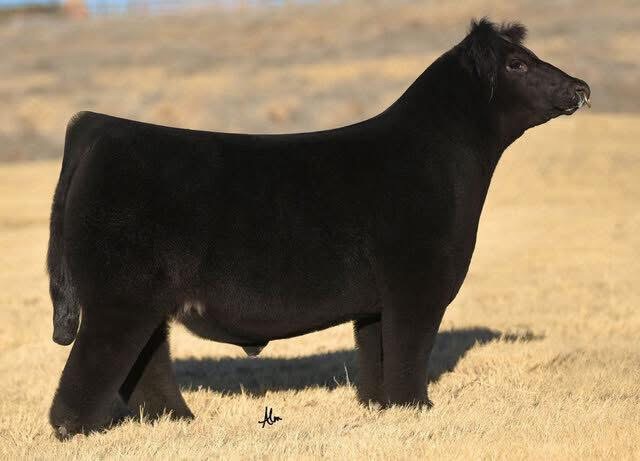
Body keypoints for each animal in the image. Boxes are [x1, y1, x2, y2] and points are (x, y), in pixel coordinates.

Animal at [46, 18, 590, 439]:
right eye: (517, 64)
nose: (581, 88)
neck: (439, 156)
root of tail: (100, 126)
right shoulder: (418, 284)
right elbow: (411, 348)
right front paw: (417, 408)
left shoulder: (377, 301)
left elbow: (377, 353)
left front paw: (380, 407)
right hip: (120, 296)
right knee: (97, 363)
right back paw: (77, 431)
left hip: (145, 298)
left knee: (147, 360)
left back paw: (179, 420)